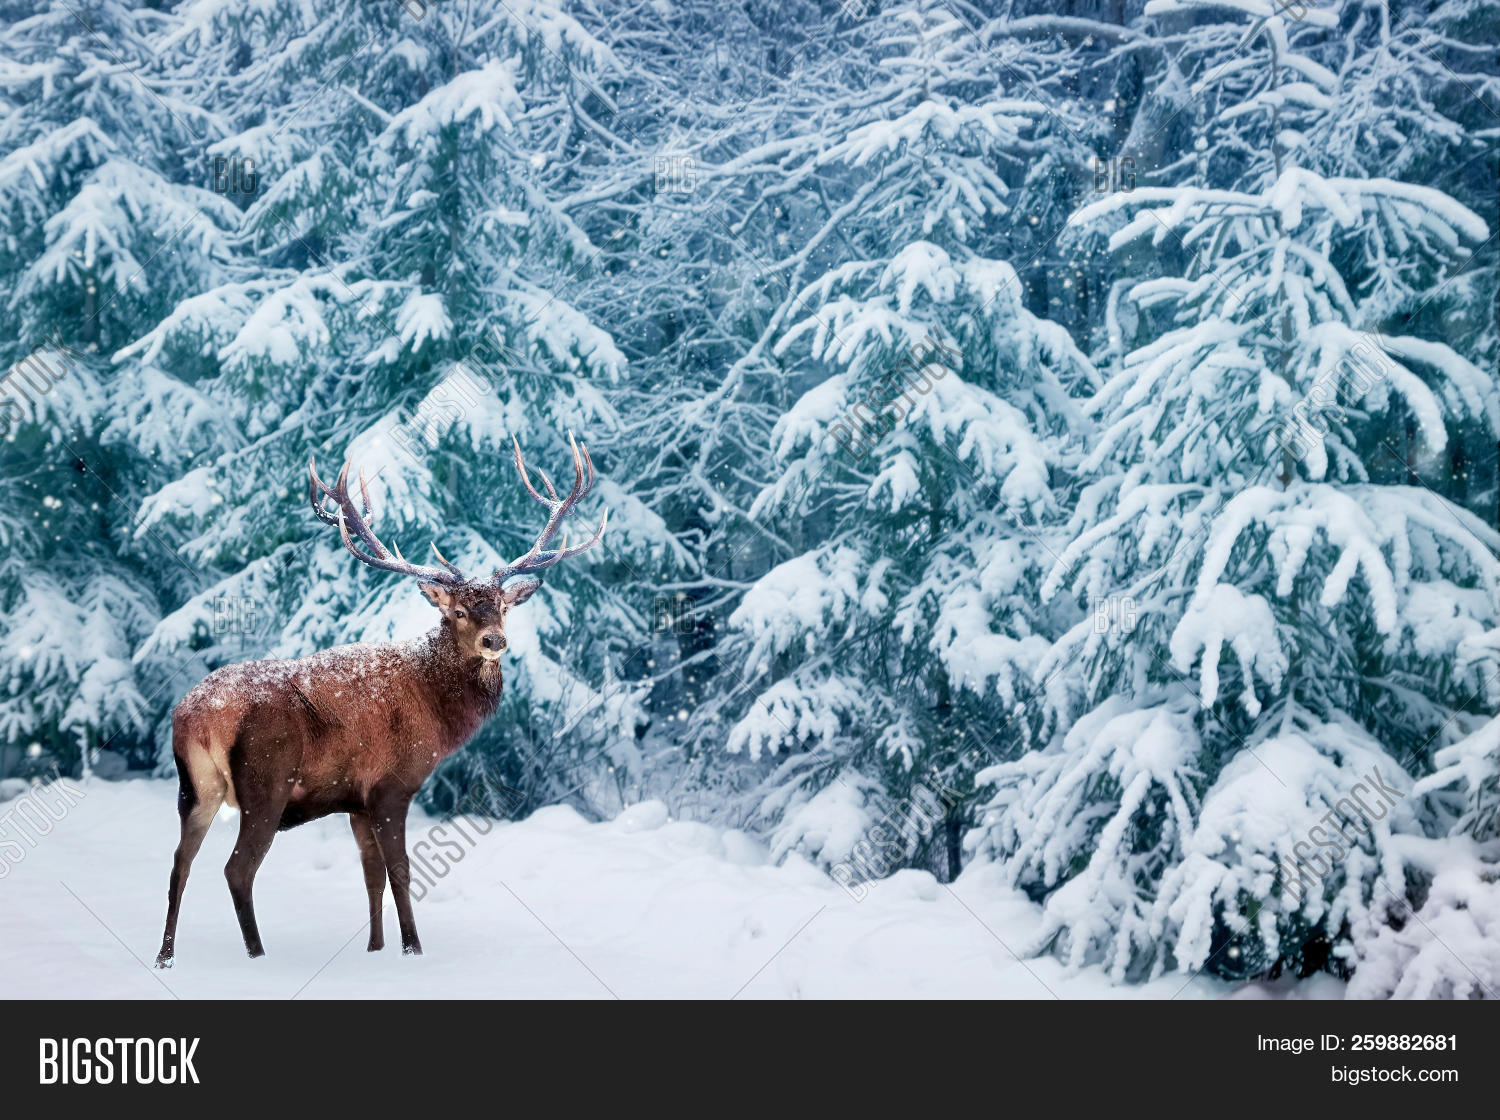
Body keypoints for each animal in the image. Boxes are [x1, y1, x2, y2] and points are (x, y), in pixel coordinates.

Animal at [154, 433, 607, 967]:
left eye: (500, 606)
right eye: (457, 611)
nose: (494, 640)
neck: (437, 714)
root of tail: (195, 716)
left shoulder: (355, 798)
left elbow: (370, 874)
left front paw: (374, 950)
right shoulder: (392, 785)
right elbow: (401, 871)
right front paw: (412, 950)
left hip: (195, 789)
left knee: (178, 862)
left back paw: (165, 956)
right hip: (267, 782)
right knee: (237, 869)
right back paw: (257, 955)